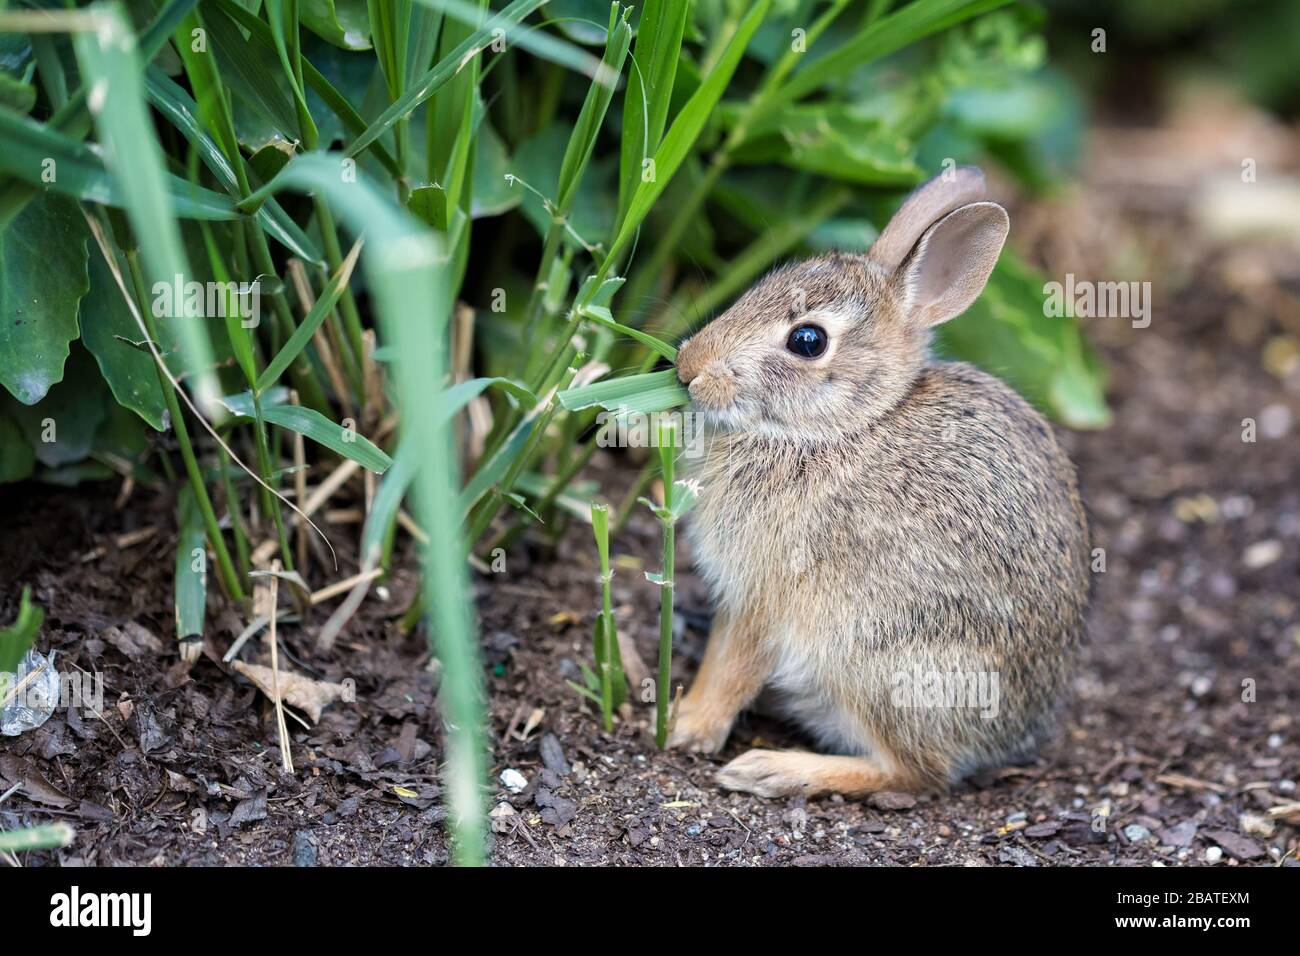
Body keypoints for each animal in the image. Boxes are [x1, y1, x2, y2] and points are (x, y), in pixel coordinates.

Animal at [666, 166, 1090, 798]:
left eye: (808, 340)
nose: (688, 366)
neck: (846, 425)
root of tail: (1008, 736)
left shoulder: (765, 594)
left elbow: (733, 664)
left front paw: (689, 725)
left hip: (877, 660)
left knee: (913, 773)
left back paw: (774, 769)